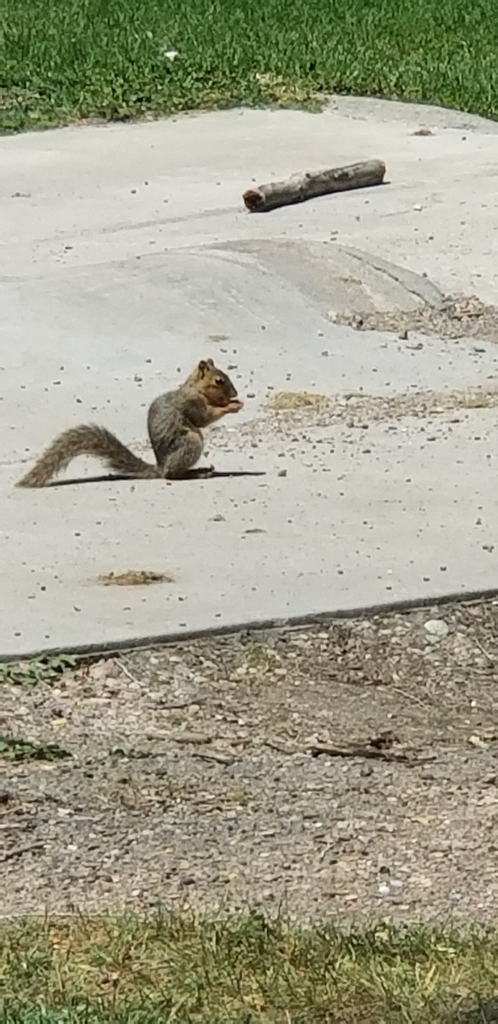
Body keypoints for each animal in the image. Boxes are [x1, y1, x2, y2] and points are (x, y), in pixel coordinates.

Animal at [16, 358, 243, 488]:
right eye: (219, 381)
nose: (235, 393)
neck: (195, 388)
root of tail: (160, 467)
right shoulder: (192, 403)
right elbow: (204, 418)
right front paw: (232, 406)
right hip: (191, 441)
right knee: (172, 475)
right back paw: (197, 473)